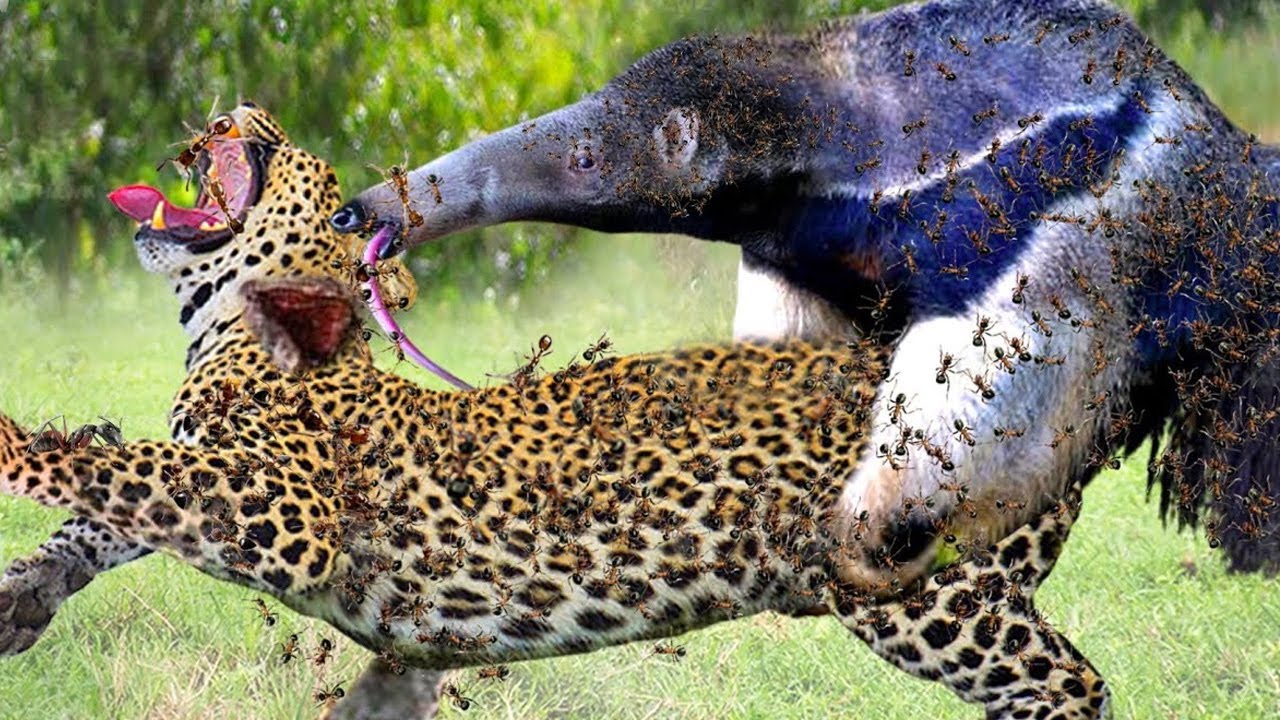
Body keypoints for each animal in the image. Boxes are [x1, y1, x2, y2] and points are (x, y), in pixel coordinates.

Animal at [0, 103, 1107, 719]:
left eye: (315, 170)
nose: (239, 111)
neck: (226, 327)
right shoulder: (222, 480)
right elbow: (114, 503)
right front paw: (22, 594)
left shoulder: (289, 515)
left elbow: (116, 467)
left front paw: (13, 448)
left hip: (930, 595)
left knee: (1069, 681)